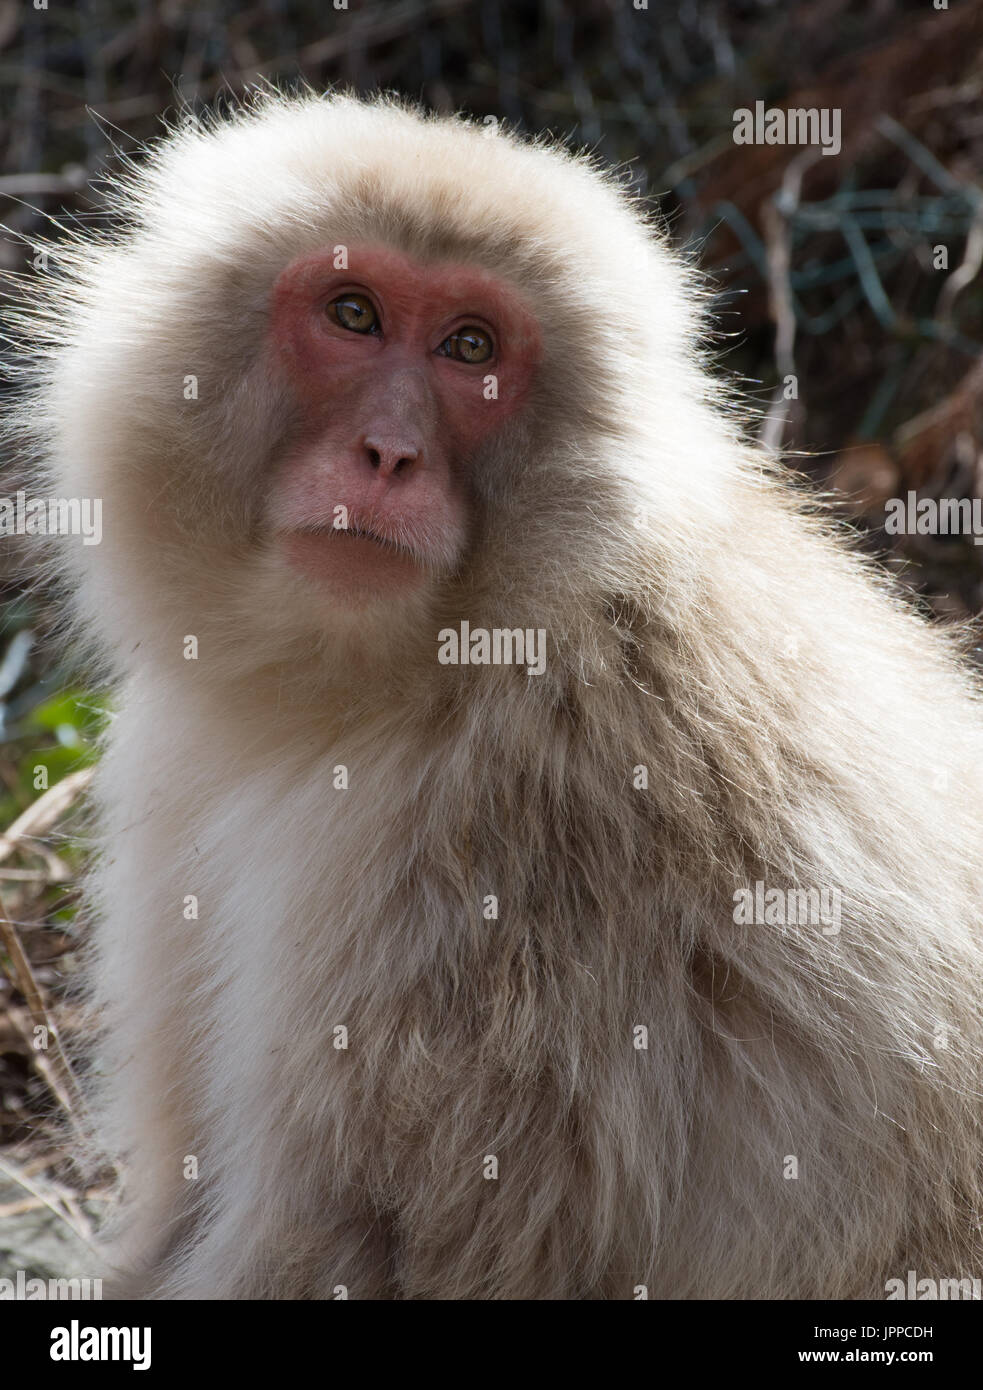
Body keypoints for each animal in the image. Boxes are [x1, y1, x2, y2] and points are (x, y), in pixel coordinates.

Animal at [4, 91, 983, 1300]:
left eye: (469, 347)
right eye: (353, 314)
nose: (388, 454)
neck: (399, 681)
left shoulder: (507, 837)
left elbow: (367, 1239)